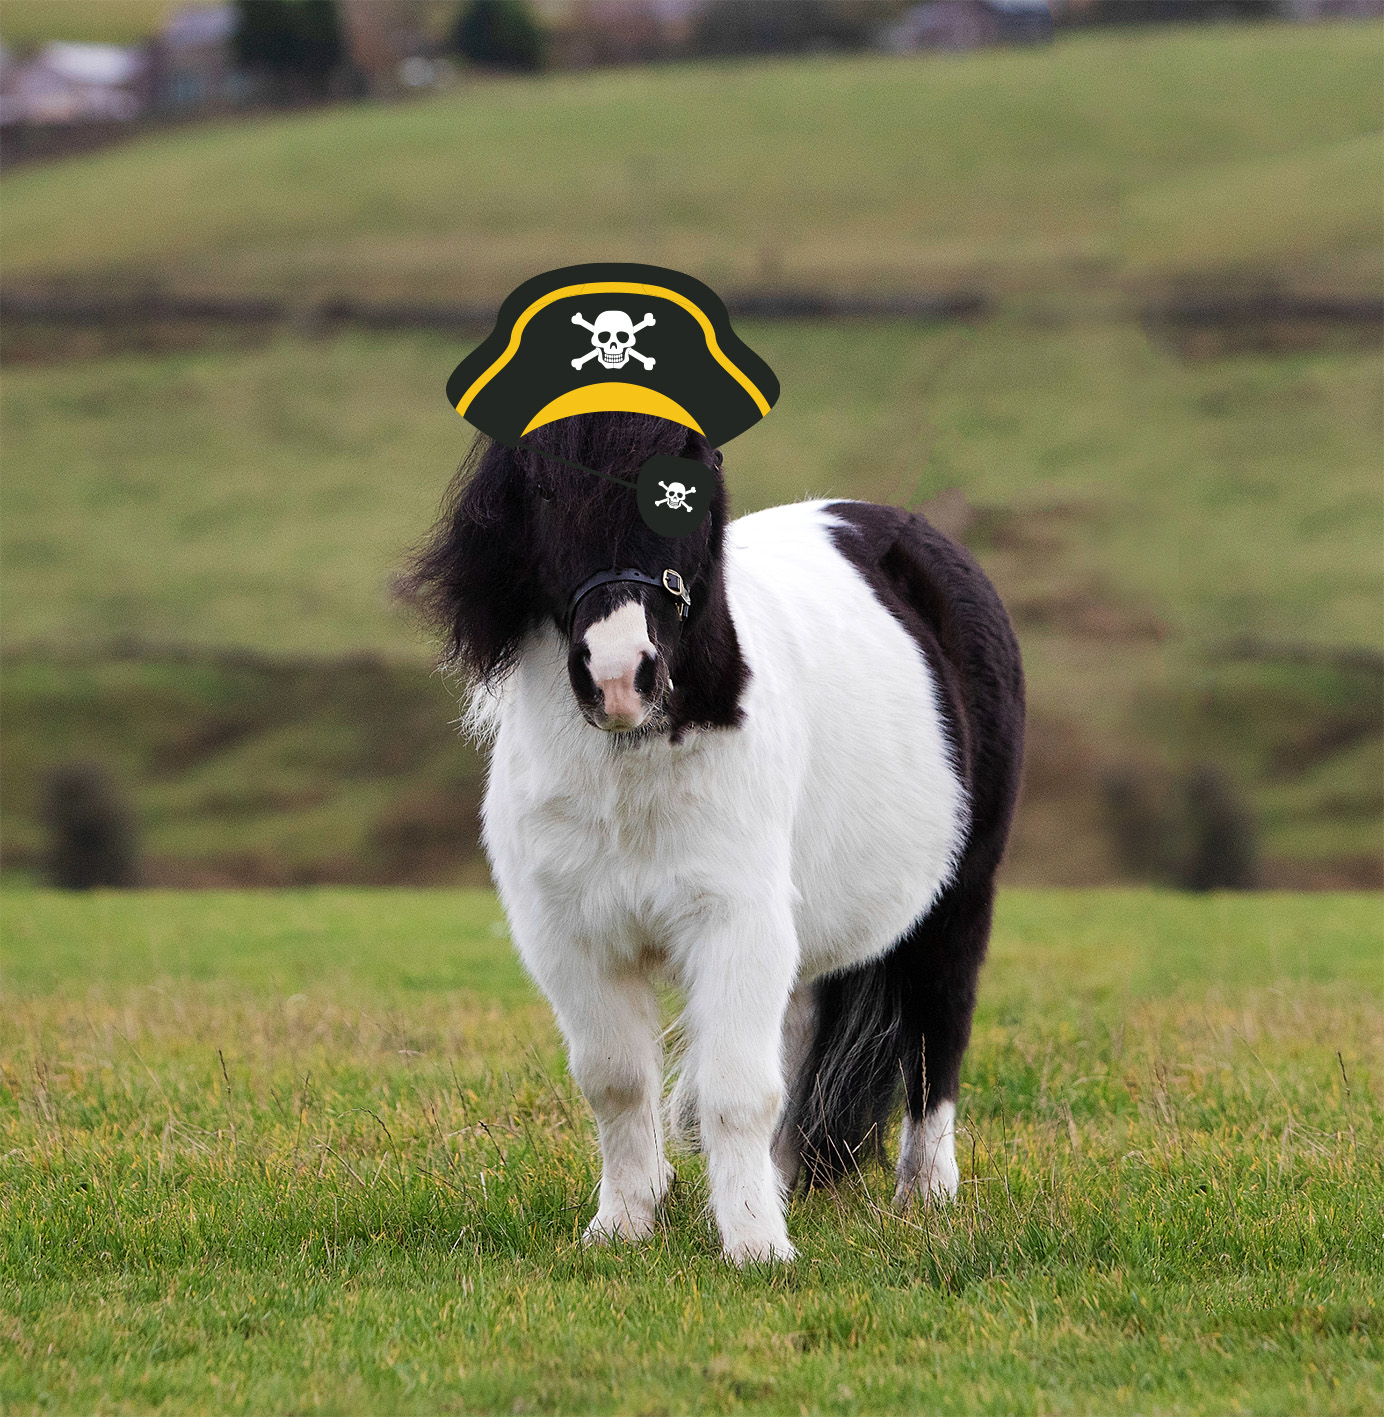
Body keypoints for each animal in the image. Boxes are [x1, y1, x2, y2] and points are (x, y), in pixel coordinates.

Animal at [402, 410, 1025, 1264]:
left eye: (690, 482)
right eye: (542, 488)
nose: (619, 674)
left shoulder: (736, 922)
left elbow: (735, 1090)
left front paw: (756, 1246)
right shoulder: (572, 939)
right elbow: (616, 1080)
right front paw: (624, 1226)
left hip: (960, 896)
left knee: (938, 1035)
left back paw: (925, 1195)